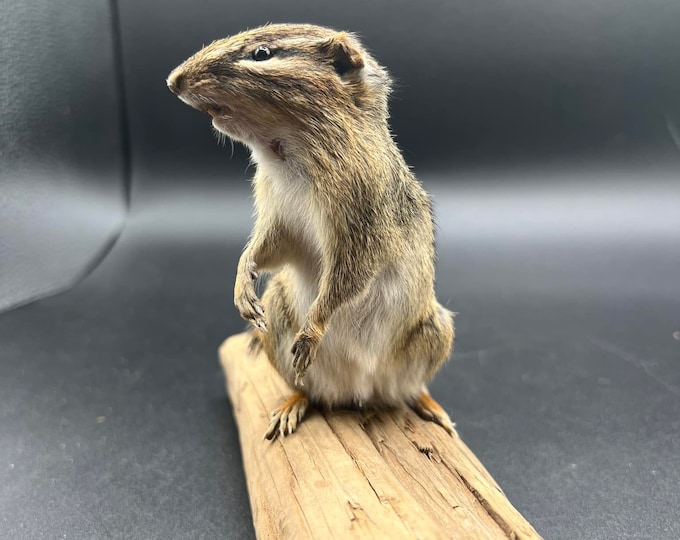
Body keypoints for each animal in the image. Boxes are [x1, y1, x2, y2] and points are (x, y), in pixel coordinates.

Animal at [167, 23, 455, 440]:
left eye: (262, 53)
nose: (174, 80)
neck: (289, 155)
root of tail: (357, 391)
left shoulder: (361, 230)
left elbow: (345, 280)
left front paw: (313, 331)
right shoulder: (280, 220)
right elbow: (261, 250)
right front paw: (241, 282)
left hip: (434, 332)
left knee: (407, 389)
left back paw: (429, 406)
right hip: (278, 311)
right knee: (308, 390)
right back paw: (292, 404)